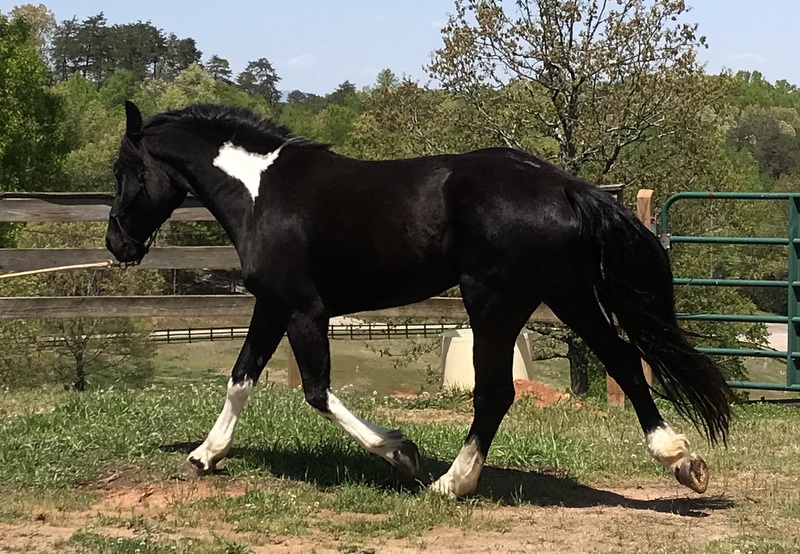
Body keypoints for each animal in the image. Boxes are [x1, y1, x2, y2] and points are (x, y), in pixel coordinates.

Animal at [105, 100, 732, 498]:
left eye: (124, 170)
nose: (117, 244)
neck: (259, 192)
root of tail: (565, 185)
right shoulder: (271, 306)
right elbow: (240, 379)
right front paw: (203, 457)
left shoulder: (302, 309)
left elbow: (317, 393)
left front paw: (400, 452)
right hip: (569, 294)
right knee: (624, 361)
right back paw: (681, 460)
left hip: (494, 305)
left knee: (497, 393)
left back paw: (451, 483)